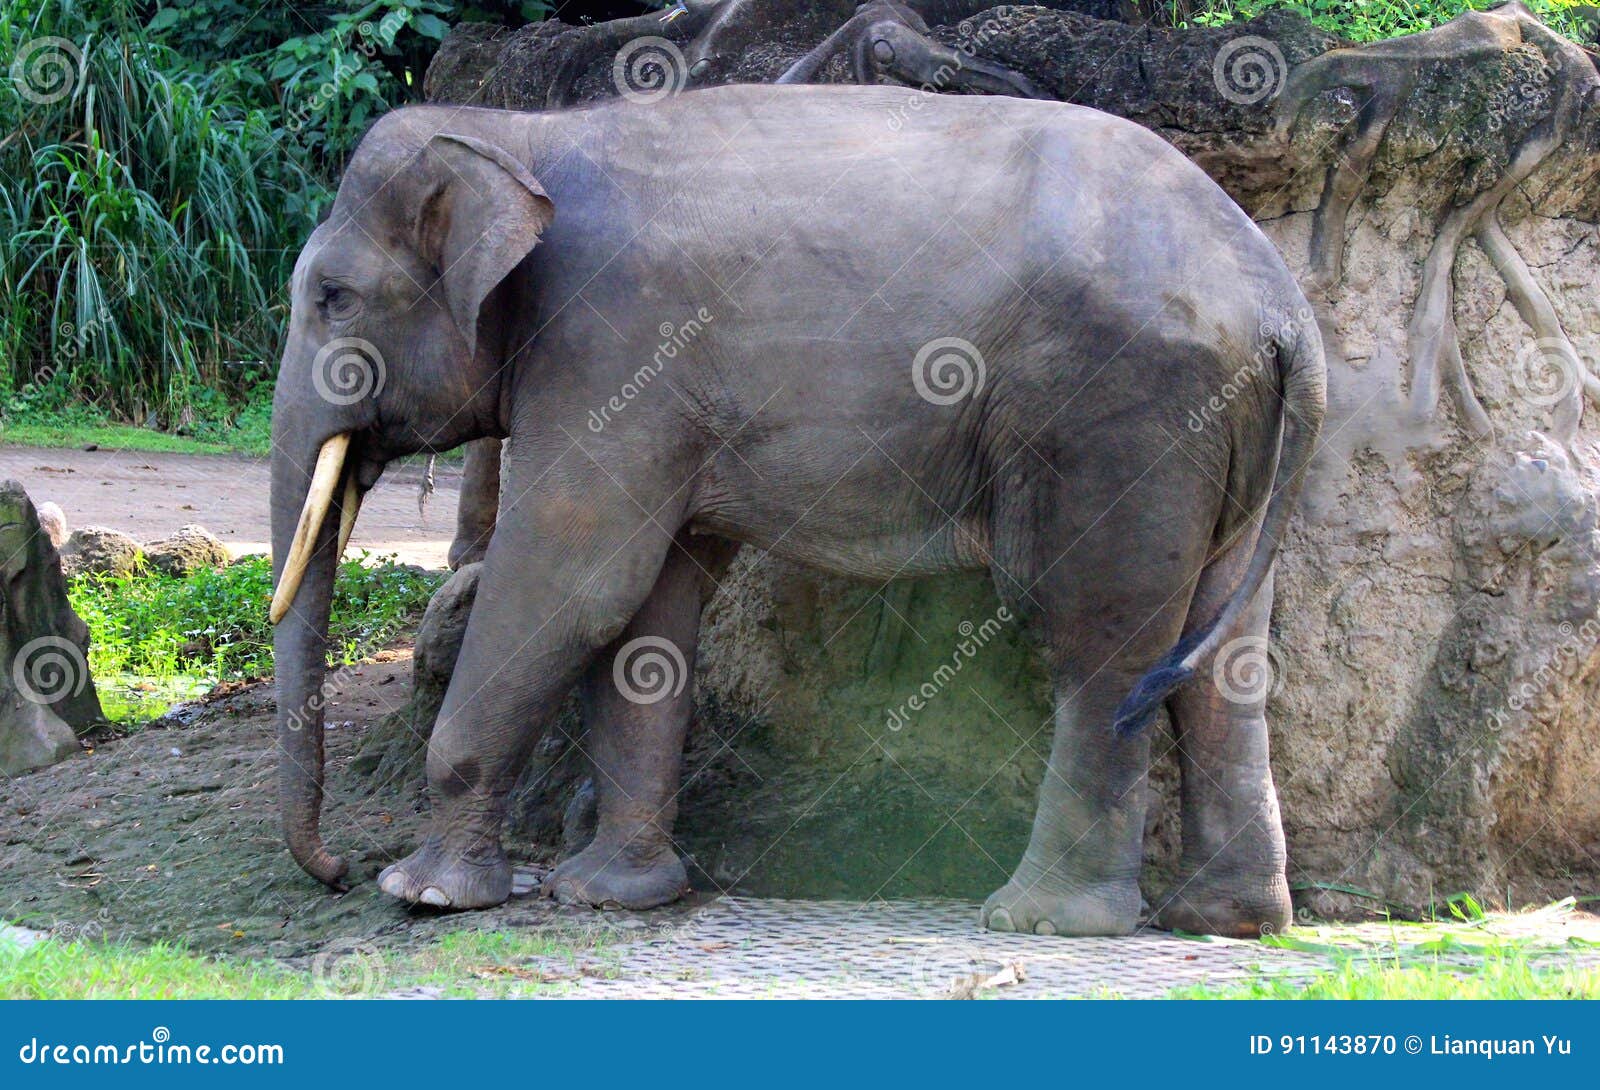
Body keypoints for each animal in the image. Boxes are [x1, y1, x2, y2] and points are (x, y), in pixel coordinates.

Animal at [268, 82, 1324, 937]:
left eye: (333, 297)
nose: (335, 871)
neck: (521, 132)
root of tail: (1281, 299)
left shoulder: (608, 350)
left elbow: (574, 583)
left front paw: (422, 894)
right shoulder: (654, 391)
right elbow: (650, 606)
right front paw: (610, 895)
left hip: (1121, 414)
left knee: (1100, 637)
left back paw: (1044, 920)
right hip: (1222, 431)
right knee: (1220, 653)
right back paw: (1226, 919)